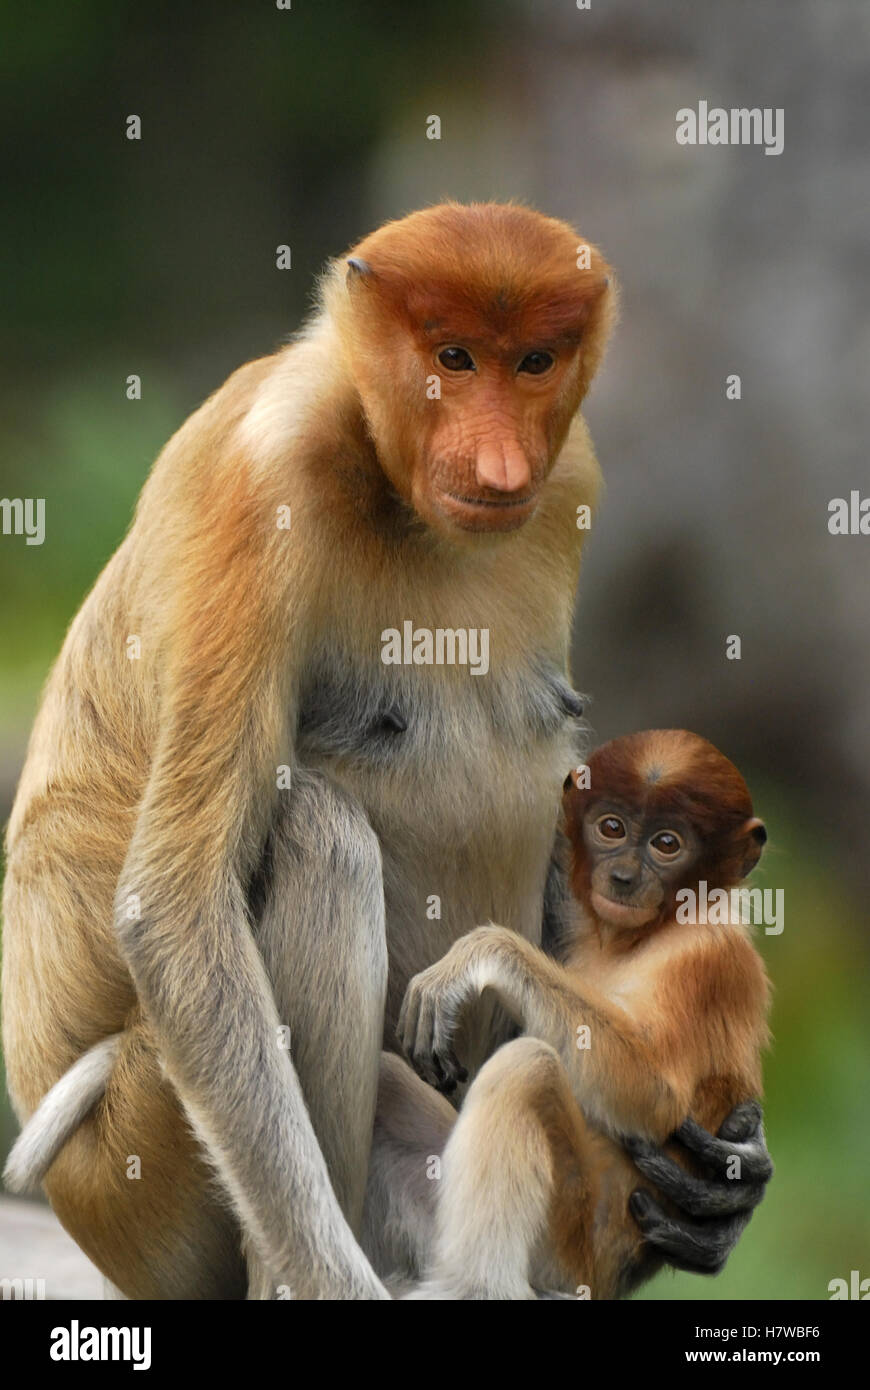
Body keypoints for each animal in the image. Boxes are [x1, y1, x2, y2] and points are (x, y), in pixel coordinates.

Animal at [361, 730, 773, 1299]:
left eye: (667, 844)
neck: (646, 935)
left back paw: (474, 1287)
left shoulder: (708, 956)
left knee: (528, 1068)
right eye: (611, 827)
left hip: (566, 1246)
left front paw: (482, 956)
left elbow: (656, 1097)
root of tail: (603, 1277)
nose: (622, 878)